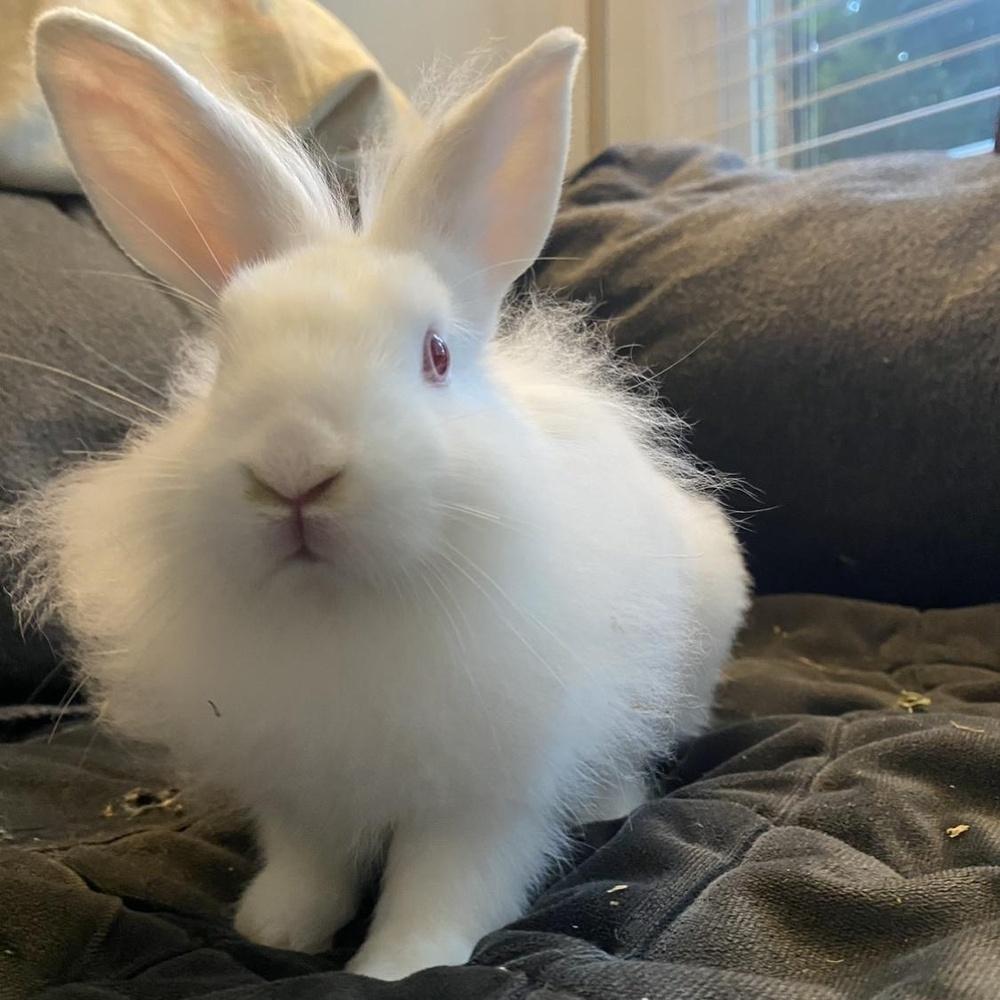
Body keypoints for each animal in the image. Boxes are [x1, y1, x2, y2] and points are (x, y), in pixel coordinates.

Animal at [7, 9, 750, 981]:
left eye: (436, 354)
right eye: (225, 361)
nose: (293, 468)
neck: (340, 613)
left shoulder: (483, 794)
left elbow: (447, 885)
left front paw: (397, 966)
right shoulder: (300, 786)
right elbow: (308, 864)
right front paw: (275, 930)